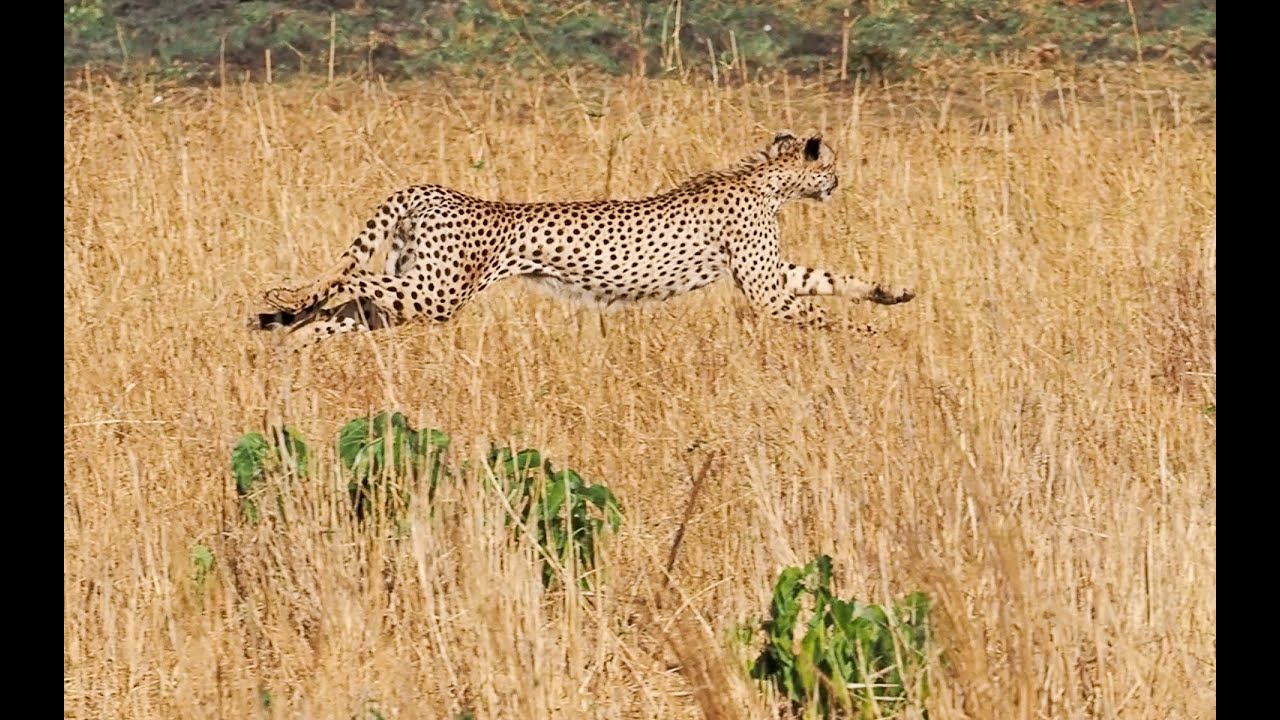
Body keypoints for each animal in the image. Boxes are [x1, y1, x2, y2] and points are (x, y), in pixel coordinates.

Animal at [252, 129, 915, 349]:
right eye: (832, 165)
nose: (840, 182)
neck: (768, 179)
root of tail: (428, 187)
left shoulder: (772, 276)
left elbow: (830, 278)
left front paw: (890, 295)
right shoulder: (765, 291)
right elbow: (816, 308)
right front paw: (870, 336)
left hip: (412, 292)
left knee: (348, 310)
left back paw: (295, 337)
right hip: (439, 293)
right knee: (349, 276)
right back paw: (285, 298)